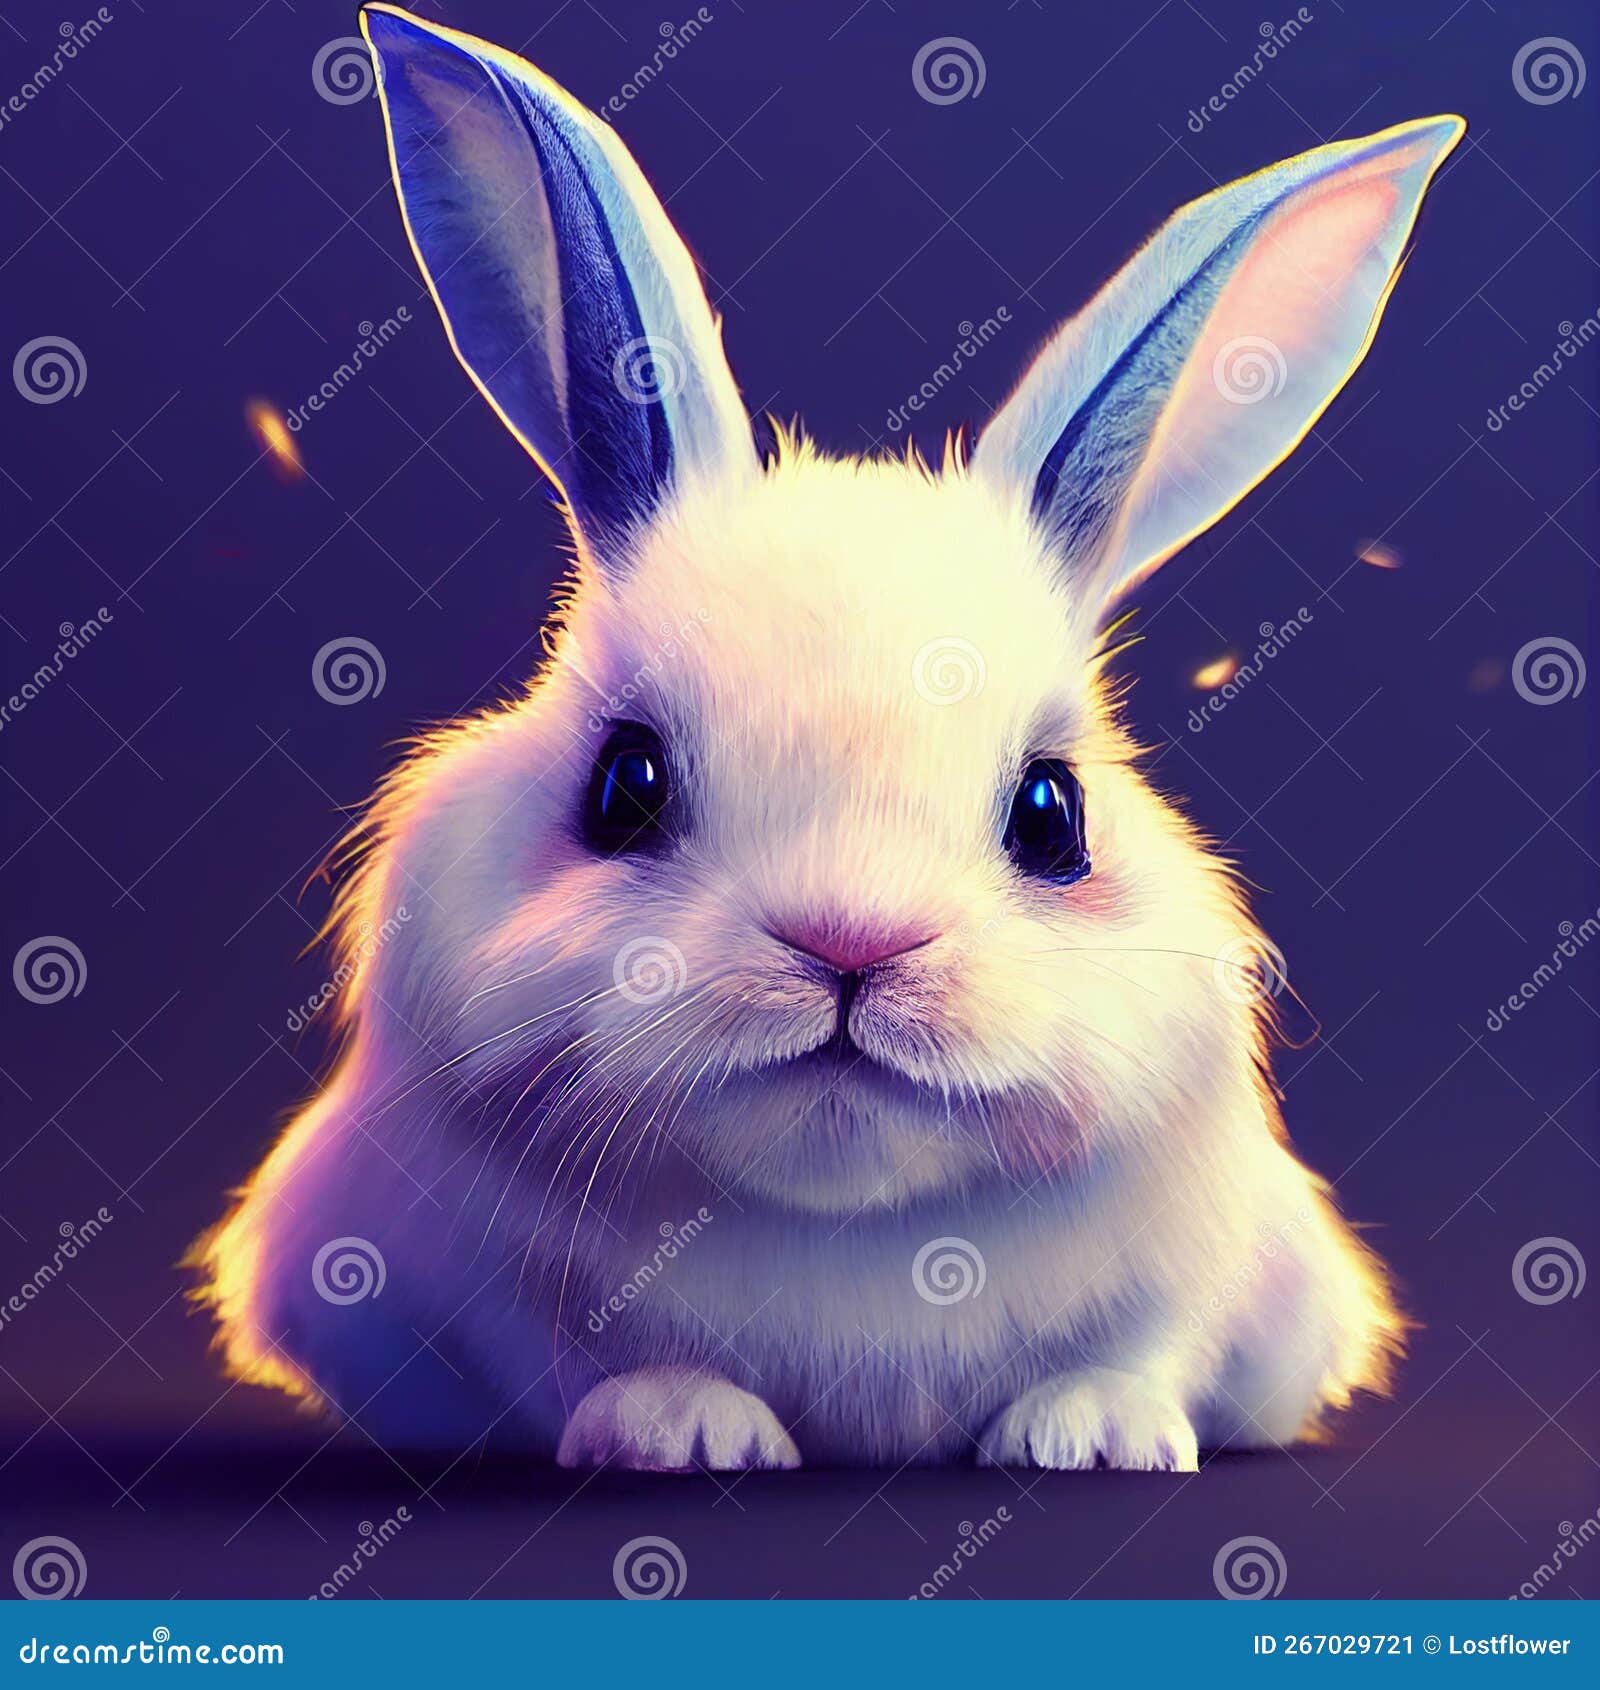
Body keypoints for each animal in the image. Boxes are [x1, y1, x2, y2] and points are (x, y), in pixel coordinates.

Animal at [189, 3, 1463, 1471]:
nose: (851, 942)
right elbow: (569, 1361)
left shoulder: (1211, 1256)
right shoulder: (458, 1272)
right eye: (624, 783)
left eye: (1053, 814)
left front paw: (1094, 1432)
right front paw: (679, 1429)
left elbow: (1153, 1341)